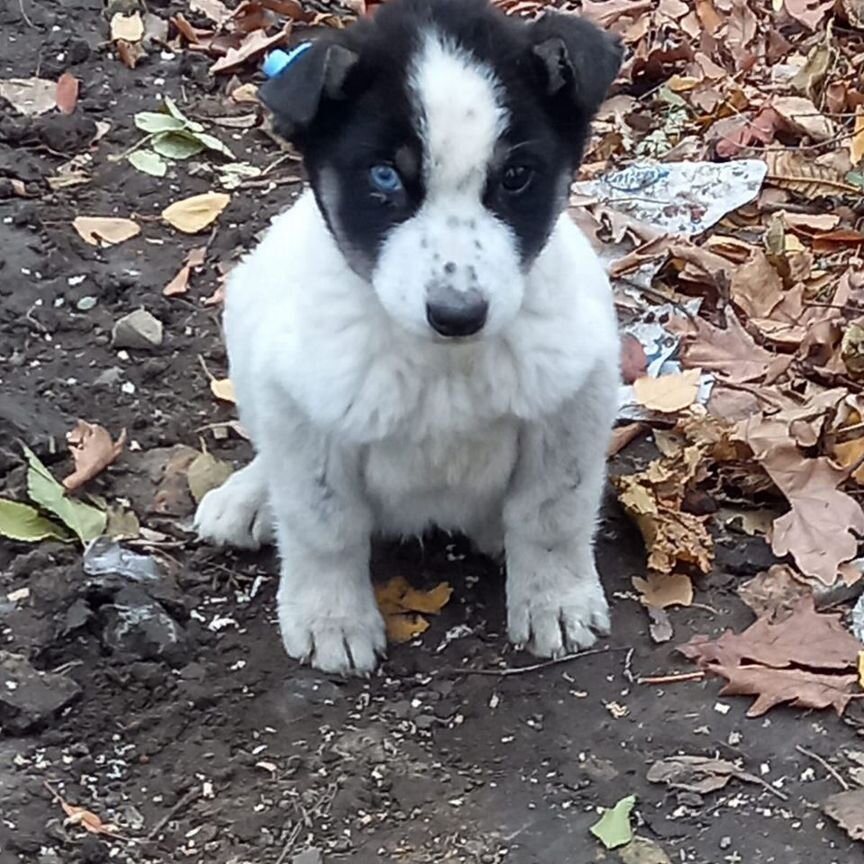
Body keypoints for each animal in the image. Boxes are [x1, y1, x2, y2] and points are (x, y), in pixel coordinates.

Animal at [197, 0, 620, 676]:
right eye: (384, 176)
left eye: (516, 176)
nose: (457, 314)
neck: (441, 365)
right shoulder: (304, 411)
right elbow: (323, 525)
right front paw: (332, 618)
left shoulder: (573, 399)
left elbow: (551, 512)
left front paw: (556, 599)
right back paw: (250, 497)